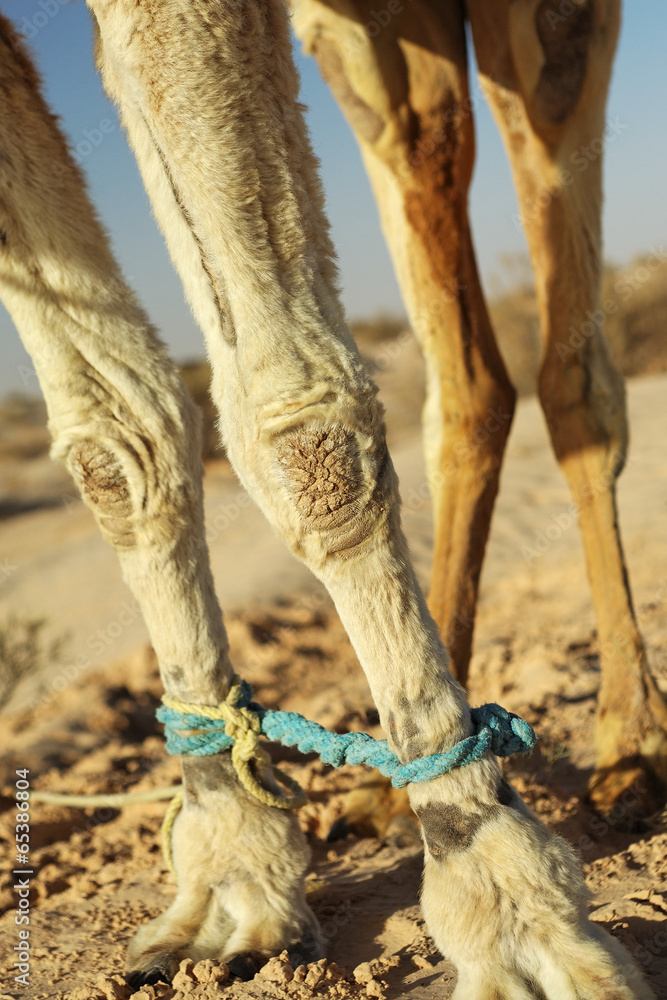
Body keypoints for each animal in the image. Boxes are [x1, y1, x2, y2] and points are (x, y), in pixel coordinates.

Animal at [0, 0, 661, 996]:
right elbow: (115, 444)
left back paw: (629, 748)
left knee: (574, 378)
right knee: (464, 368)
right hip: (375, 56)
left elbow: (302, 433)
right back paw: (385, 786)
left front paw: (499, 895)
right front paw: (231, 868)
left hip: (530, 41)